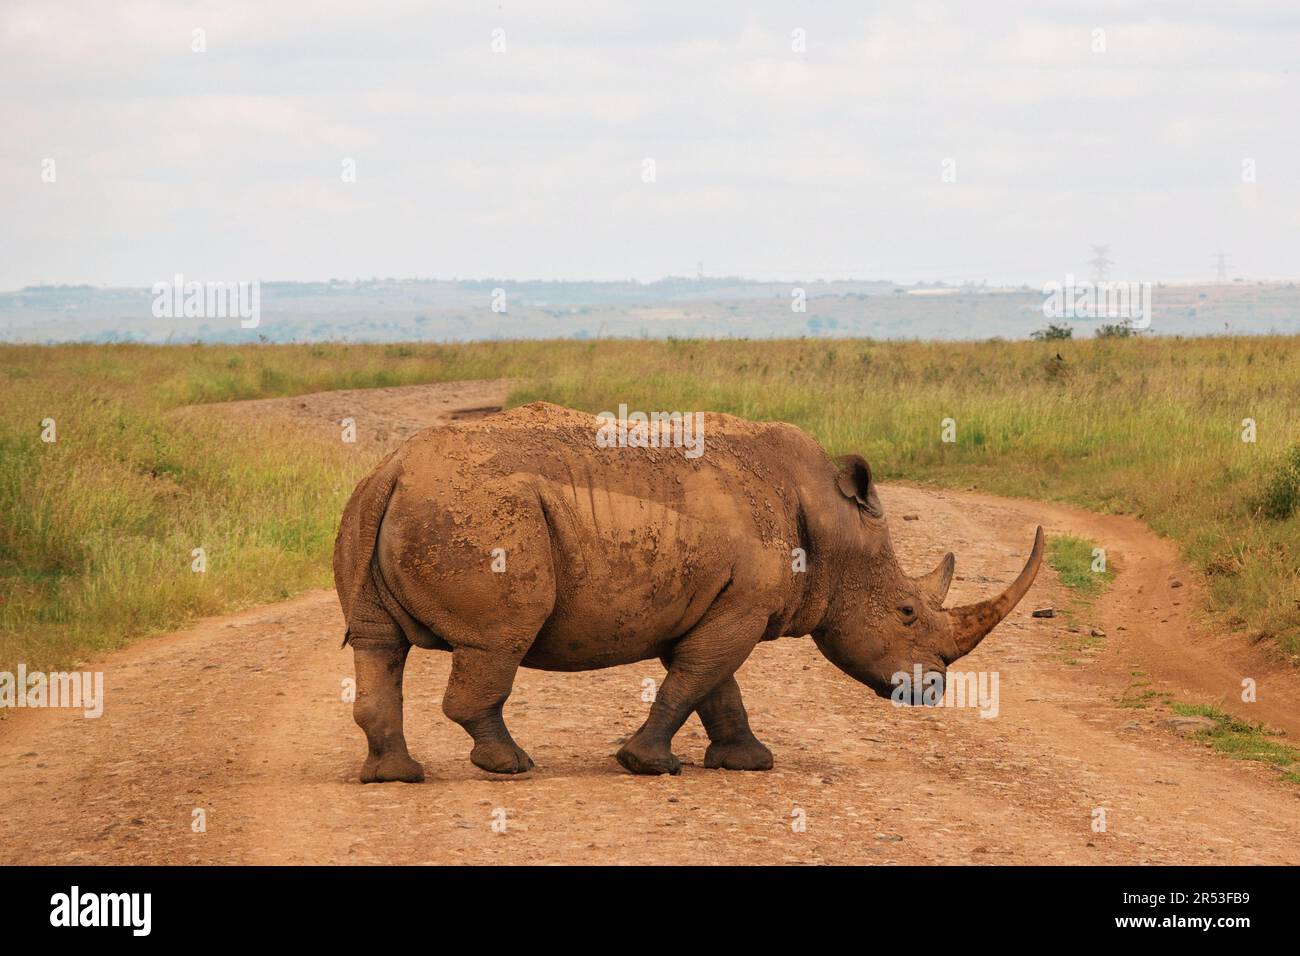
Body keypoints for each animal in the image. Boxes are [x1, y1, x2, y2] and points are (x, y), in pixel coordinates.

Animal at [334, 401, 1043, 782]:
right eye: (906, 612)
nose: (932, 690)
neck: (832, 523)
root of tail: (394, 469)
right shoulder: (740, 607)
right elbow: (698, 679)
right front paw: (648, 765)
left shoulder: (714, 602)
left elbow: (714, 685)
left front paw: (748, 763)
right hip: (483, 515)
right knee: (498, 642)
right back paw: (510, 765)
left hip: (375, 506)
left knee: (377, 643)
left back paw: (396, 776)